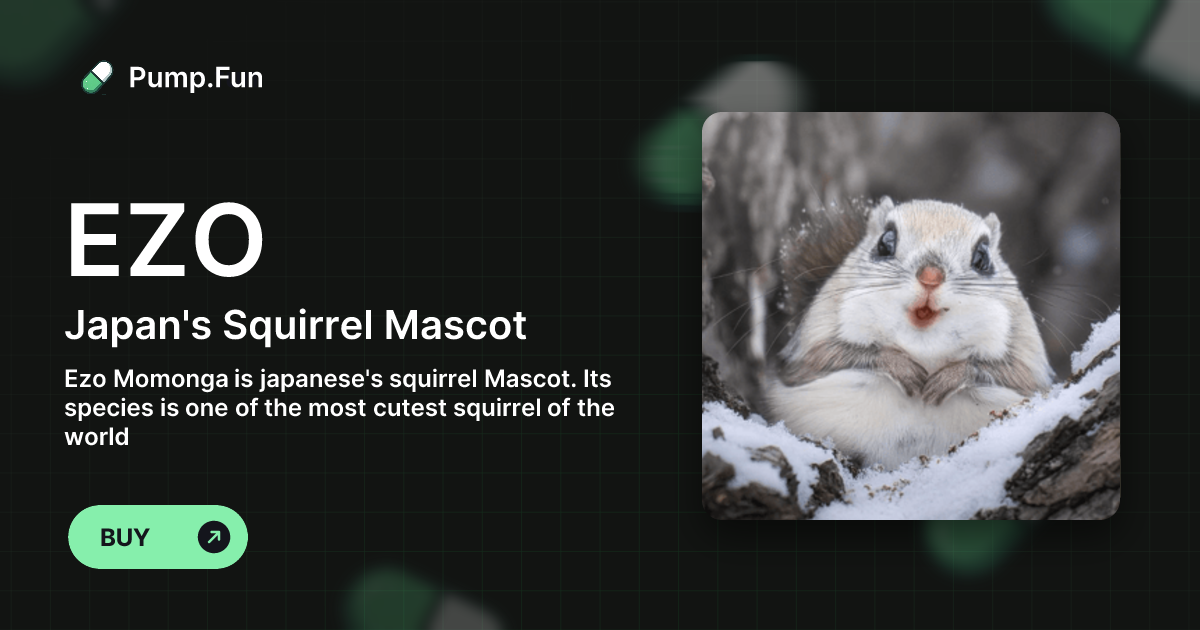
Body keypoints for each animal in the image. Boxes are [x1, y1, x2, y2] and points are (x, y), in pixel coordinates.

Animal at [767, 197, 1053, 470]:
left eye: (983, 258)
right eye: (885, 243)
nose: (930, 276)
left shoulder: (1026, 370)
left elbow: (1006, 374)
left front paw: (950, 377)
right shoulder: (809, 356)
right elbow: (838, 355)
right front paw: (899, 366)